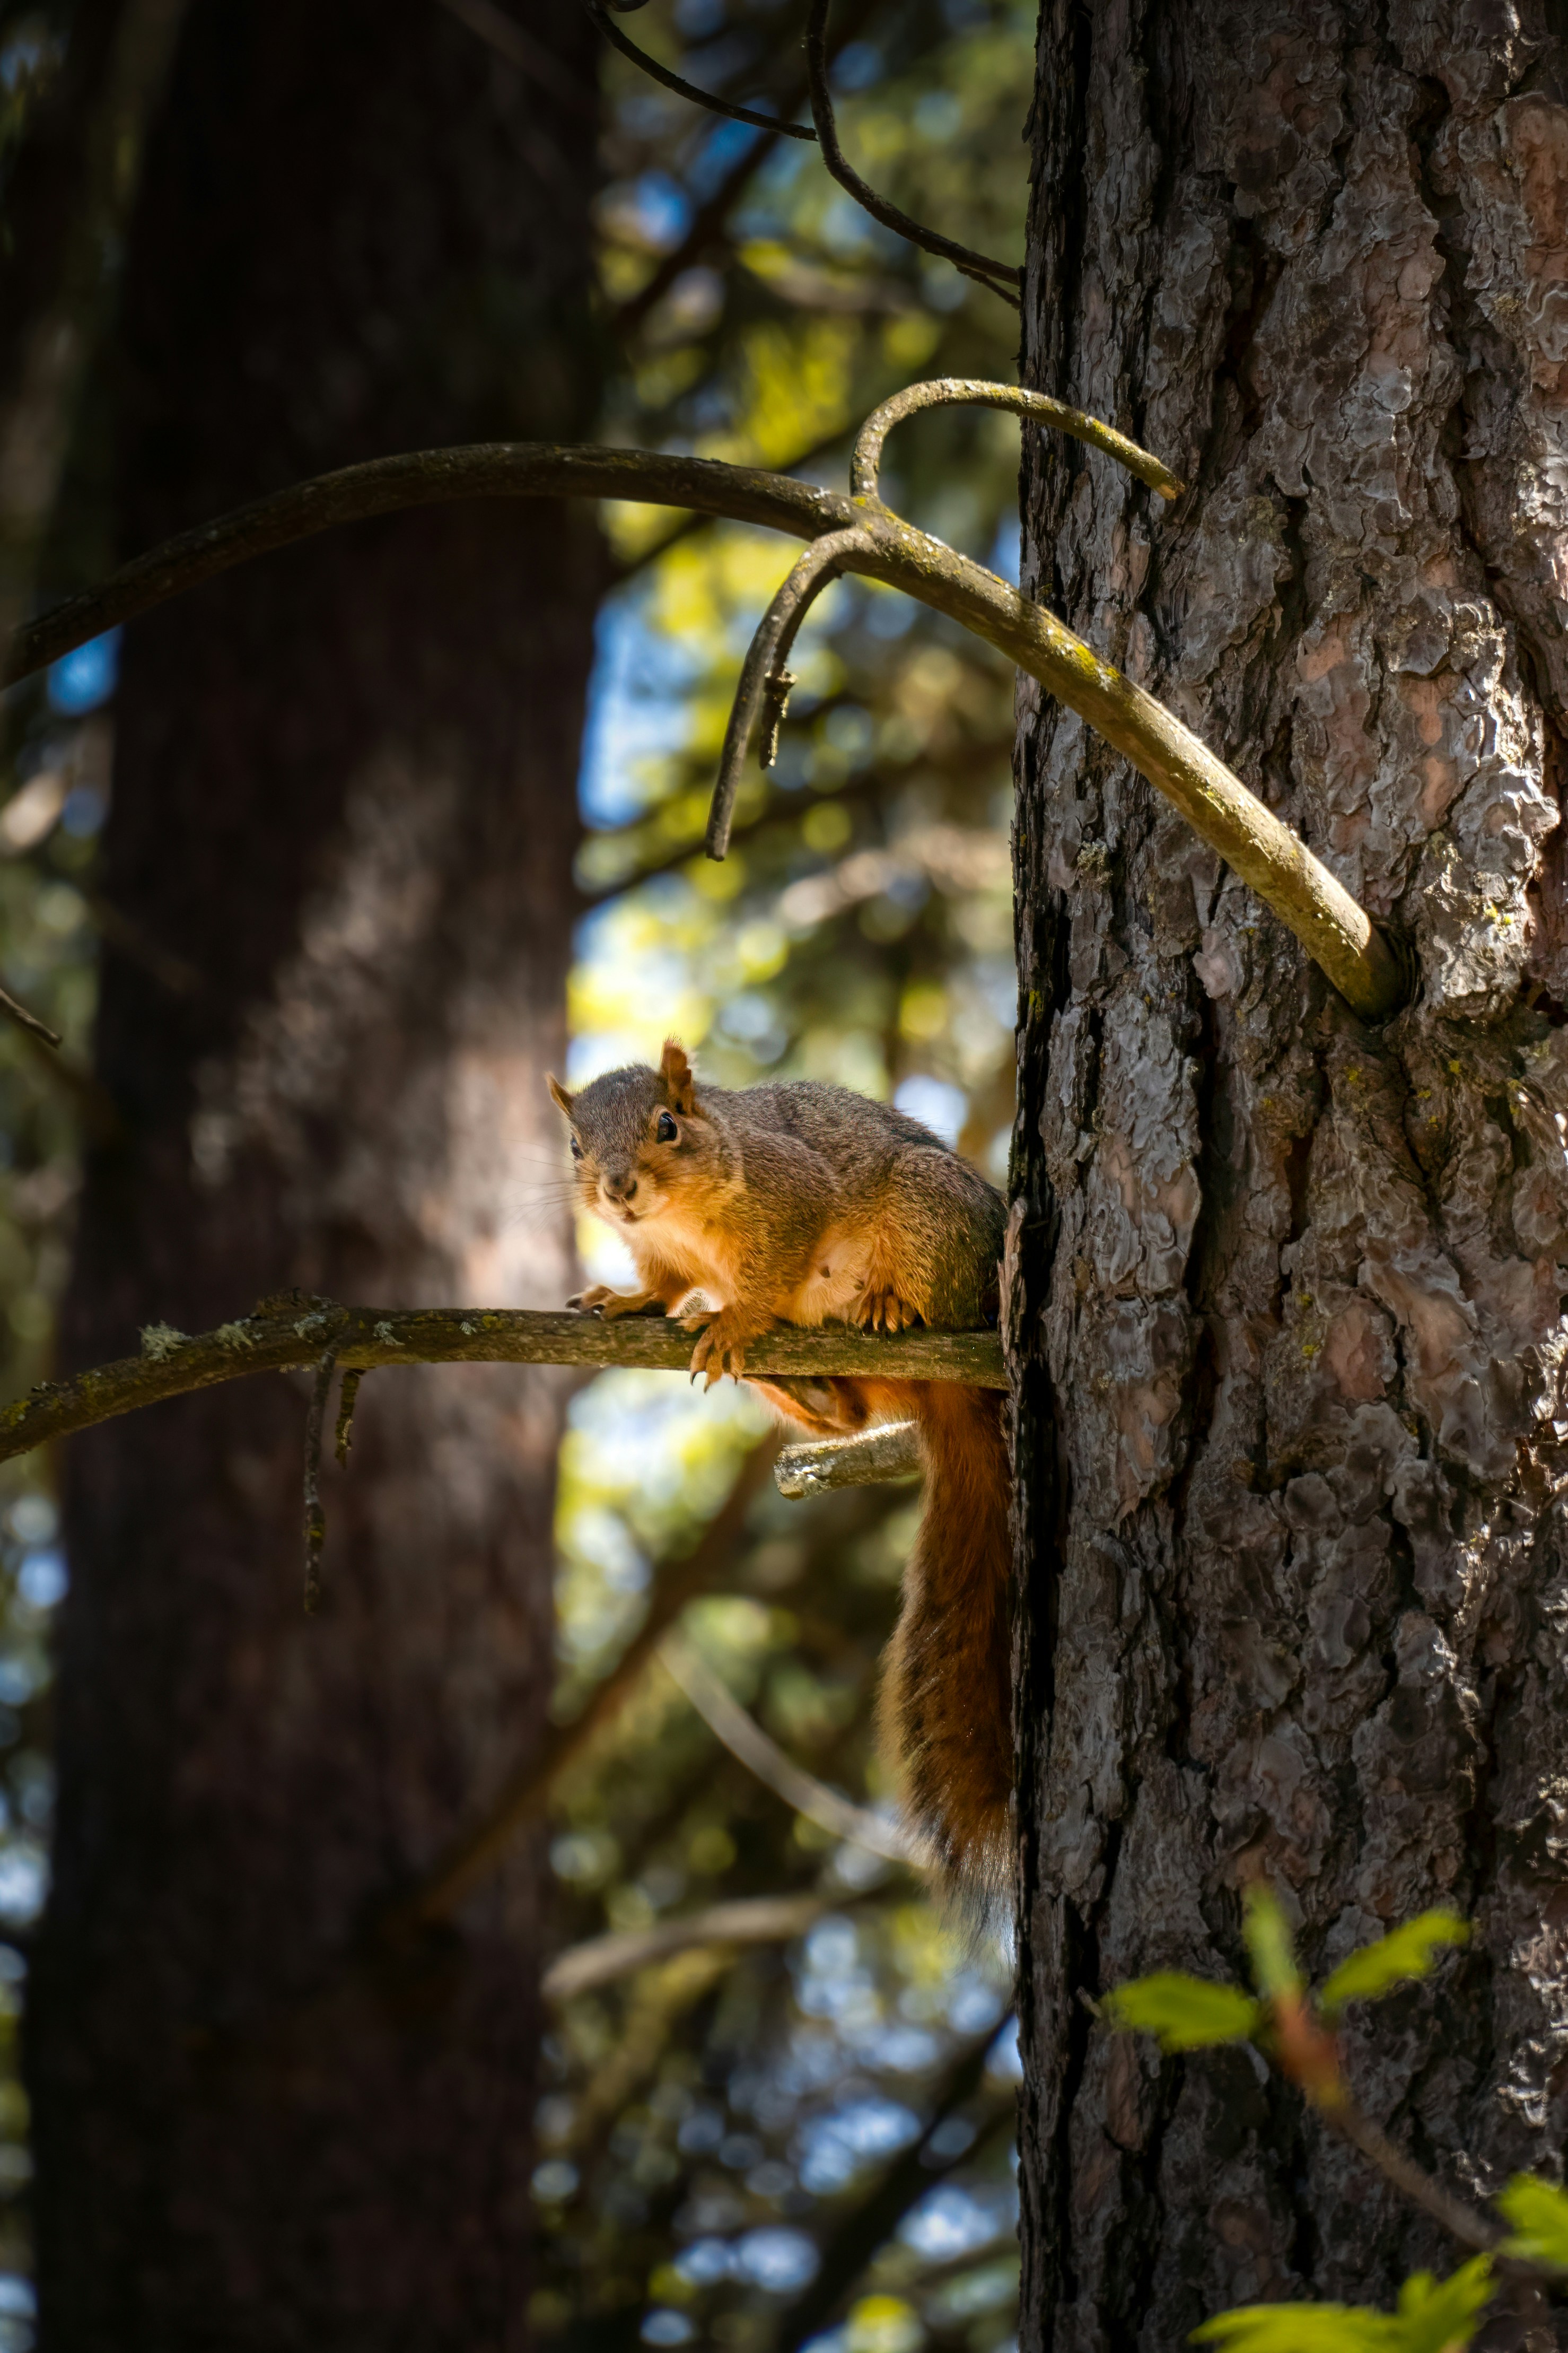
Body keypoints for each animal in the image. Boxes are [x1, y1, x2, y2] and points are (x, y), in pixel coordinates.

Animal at [548, 1039, 1011, 1899]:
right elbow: (662, 1287)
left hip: (930, 1215)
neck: (682, 1215)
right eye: (573, 1145)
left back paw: (888, 1307)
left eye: (667, 1124)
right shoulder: (660, 1251)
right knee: (852, 1418)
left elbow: (771, 1273)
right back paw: (801, 1386)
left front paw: (737, 1317)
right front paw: (632, 1302)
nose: (617, 1190)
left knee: (936, 1309)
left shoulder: (791, 1191)